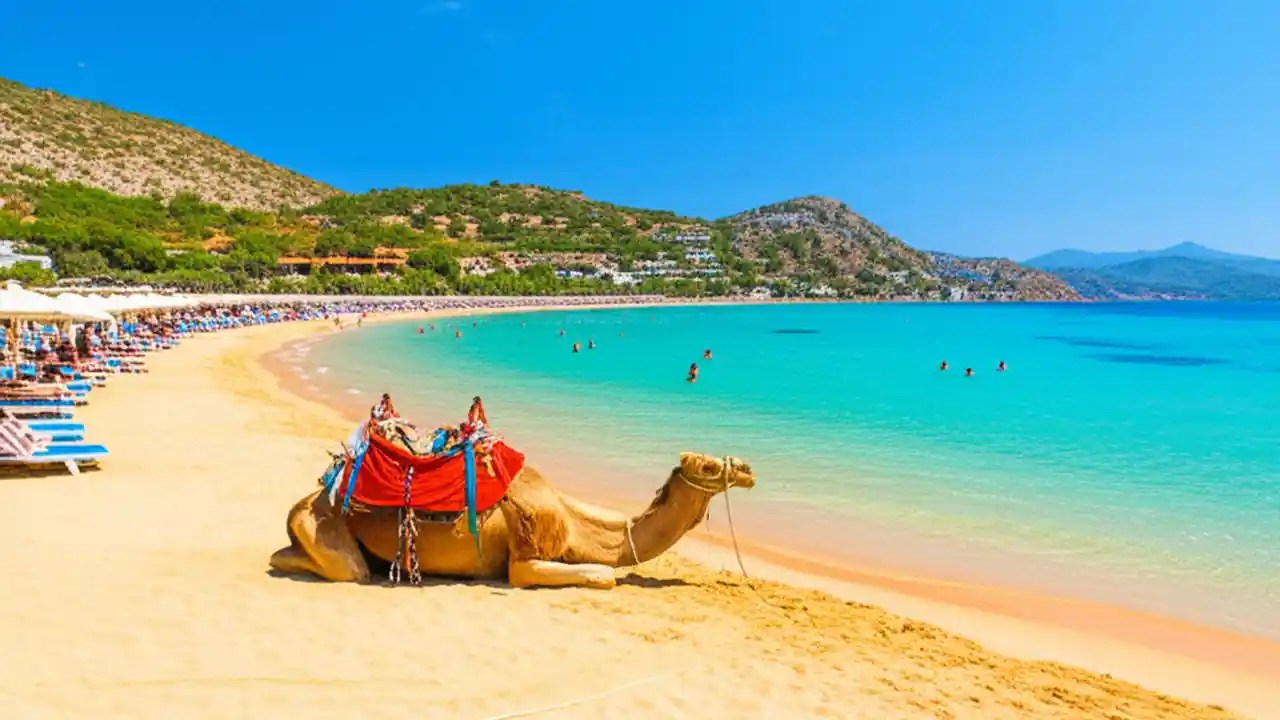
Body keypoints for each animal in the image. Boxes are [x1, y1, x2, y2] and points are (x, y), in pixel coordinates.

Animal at [269, 452, 756, 588]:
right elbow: (603, 576)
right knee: (344, 569)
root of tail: (303, 501)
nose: (747, 469)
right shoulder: (525, 558)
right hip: (323, 524)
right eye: (709, 465)